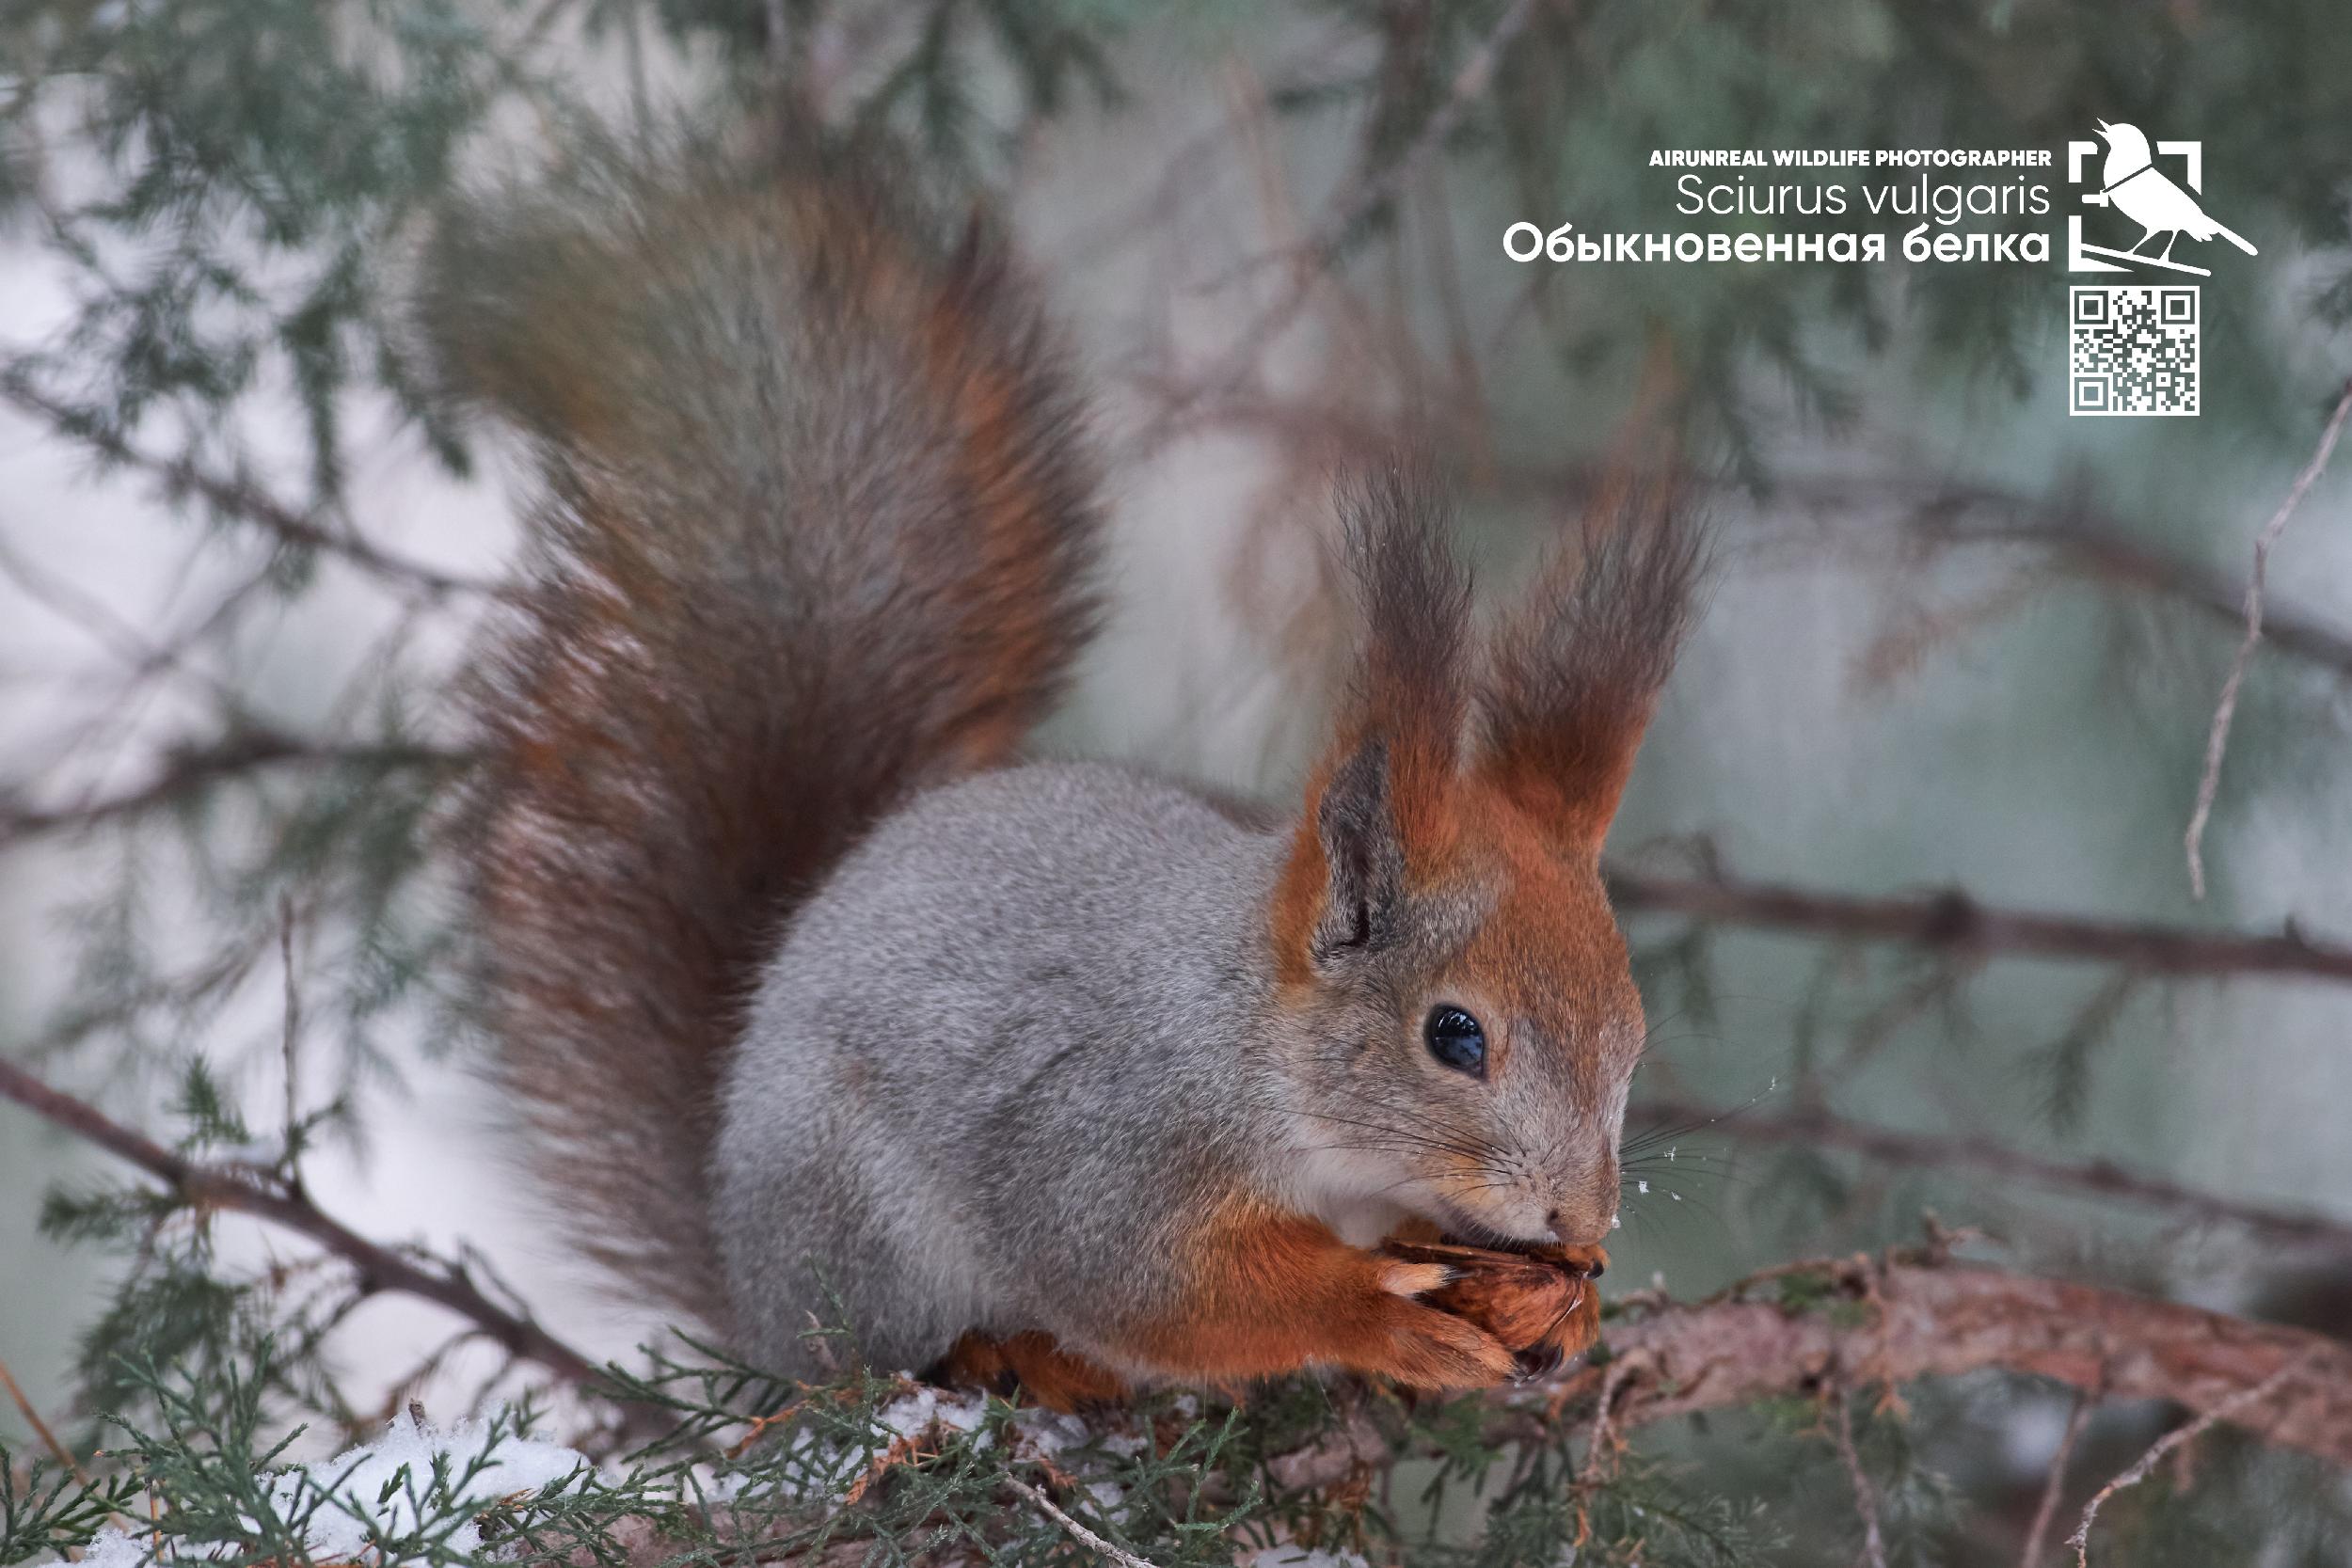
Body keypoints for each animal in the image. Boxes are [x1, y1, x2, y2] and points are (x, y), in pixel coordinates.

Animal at [423, 135, 1703, 1410]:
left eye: (1633, 1036)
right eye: (1453, 1035)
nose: (1581, 1221)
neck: (1264, 1053)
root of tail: (755, 1301)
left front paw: (1569, 1309)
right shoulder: (1108, 1148)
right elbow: (1160, 1289)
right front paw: (1375, 1317)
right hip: (859, 1228)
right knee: (902, 1349)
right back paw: (1009, 1352)